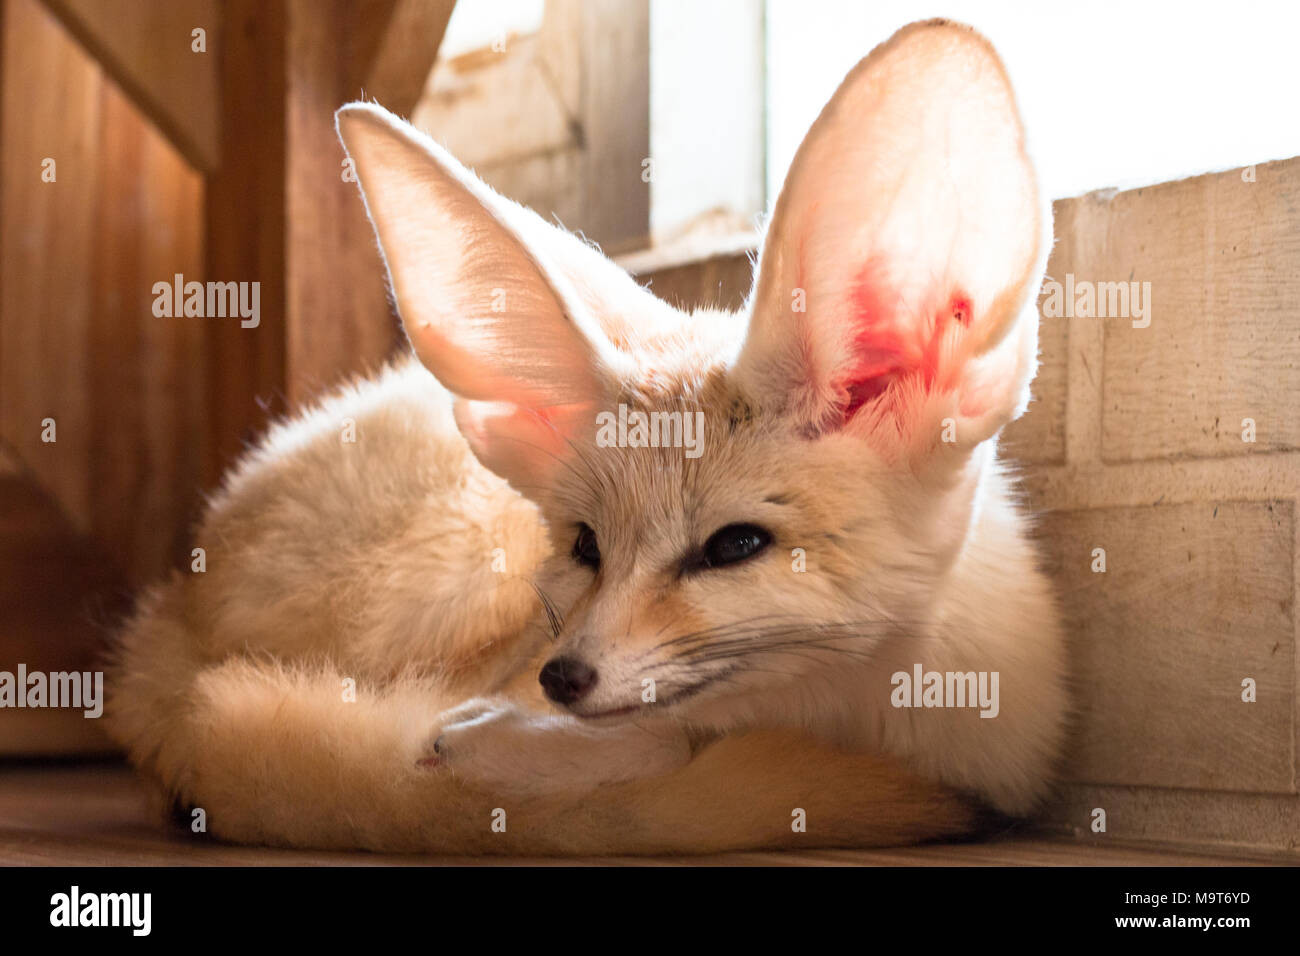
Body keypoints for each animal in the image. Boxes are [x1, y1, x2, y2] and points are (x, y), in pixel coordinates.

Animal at [107, 19, 1068, 855]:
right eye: (585, 546)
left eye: (736, 546)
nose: (561, 678)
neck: (856, 716)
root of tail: (171, 603)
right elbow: (643, 740)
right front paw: (501, 743)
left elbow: (660, 738)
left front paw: (511, 742)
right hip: (469, 561)